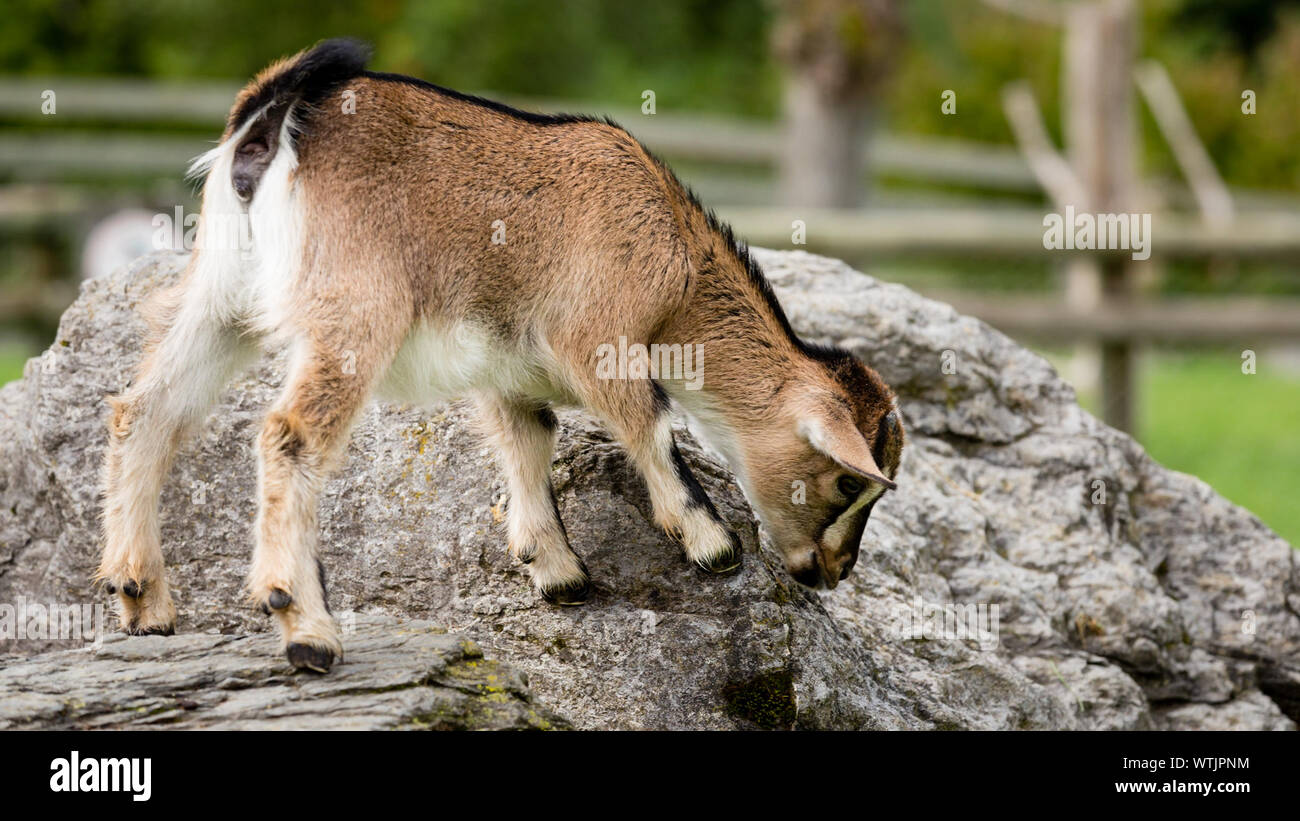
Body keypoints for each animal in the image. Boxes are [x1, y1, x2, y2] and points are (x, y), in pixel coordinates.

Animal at [96, 39, 904, 672]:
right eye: (845, 482)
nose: (832, 571)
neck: (675, 255)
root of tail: (272, 119)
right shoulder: (596, 338)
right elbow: (652, 425)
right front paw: (711, 543)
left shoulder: (506, 367)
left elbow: (529, 438)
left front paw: (557, 573)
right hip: (354, 311)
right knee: (288, 433)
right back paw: (307, 632)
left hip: (221, 300)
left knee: (144, 409)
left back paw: (144, 602)